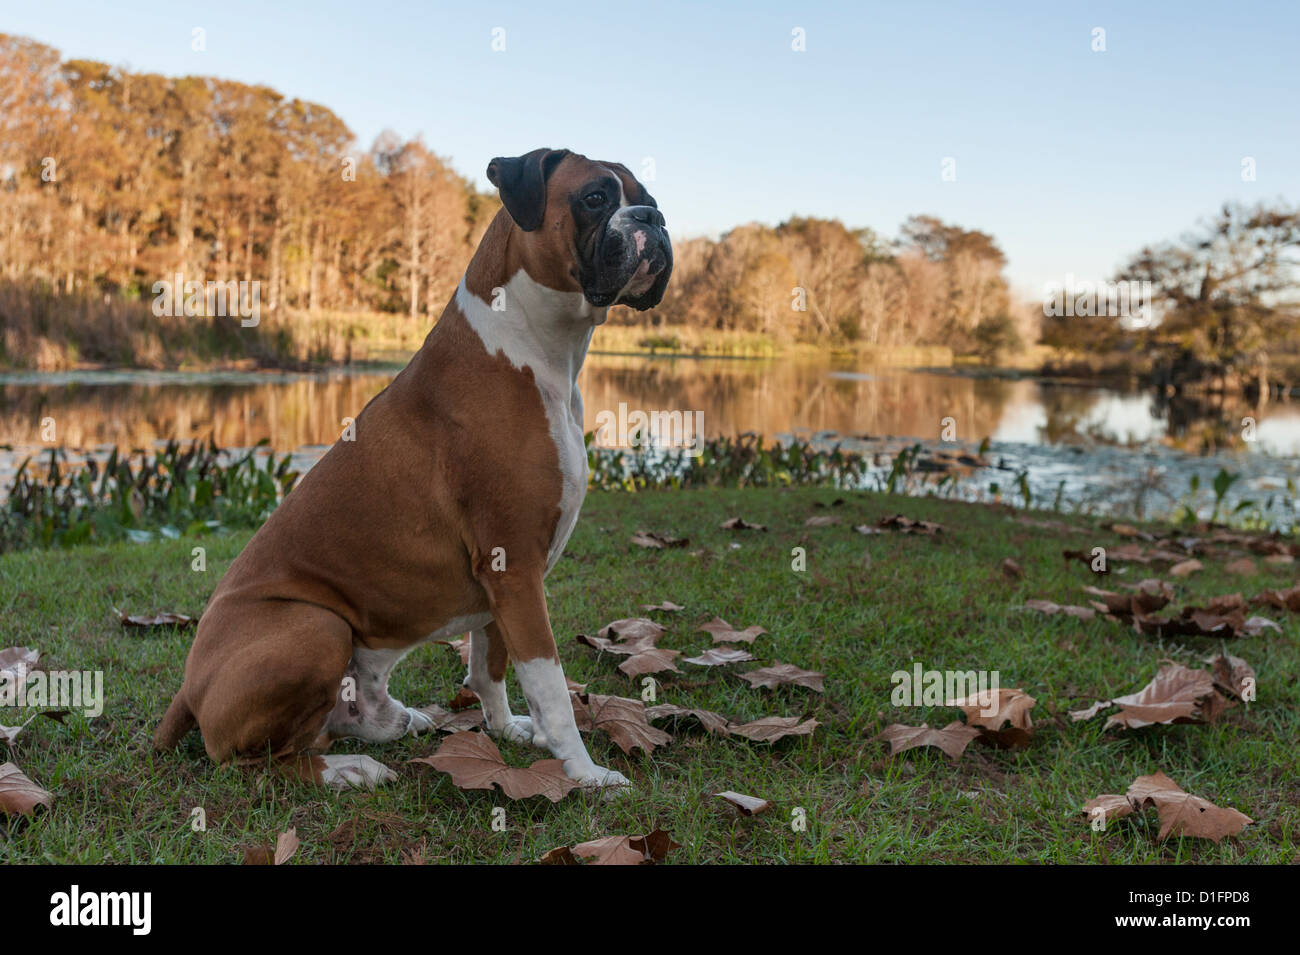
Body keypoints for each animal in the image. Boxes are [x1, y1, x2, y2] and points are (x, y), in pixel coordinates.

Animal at [154, 149, 670, 789]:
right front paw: (582, 771)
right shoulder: (516, 568)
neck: (534, 346)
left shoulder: (504, 579)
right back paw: (350, 769)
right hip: (315, 627)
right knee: (257, 761)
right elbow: (548, 682)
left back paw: (392, 721)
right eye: (596, 199)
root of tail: (186, 690)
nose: (653, 217)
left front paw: (506, 729)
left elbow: (489, 665)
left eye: (647, 197)